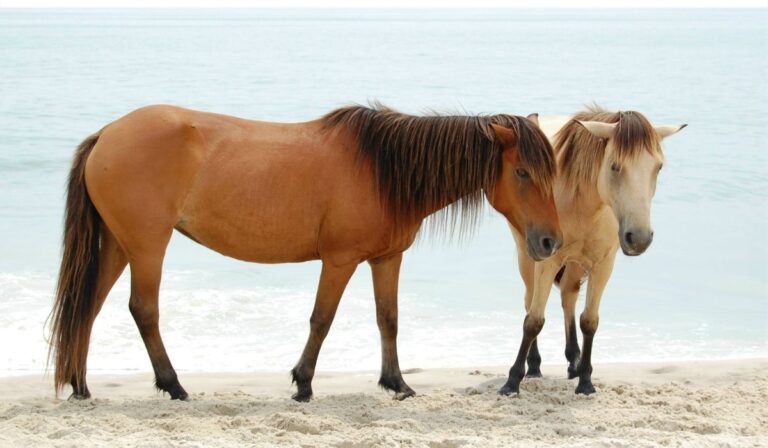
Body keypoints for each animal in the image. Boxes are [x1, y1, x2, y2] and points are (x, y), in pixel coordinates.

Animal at [49, 103, 563, 402]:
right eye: (522, 172)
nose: (549, 242)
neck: (382, 168)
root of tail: (107, 134)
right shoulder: (339, 261)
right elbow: (322, 319)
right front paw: (303, 383)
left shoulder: (386, 259)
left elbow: (388, 319)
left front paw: (396, 383)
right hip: (147, 245)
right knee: (143, 310)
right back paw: (173, 385)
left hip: (119, 245)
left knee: (88, 308)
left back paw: (81, 385)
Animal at [498, 106, 686, 396]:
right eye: (615, 166)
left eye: (658, 167)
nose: (639, 239)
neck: (582, 202)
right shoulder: (547, 261)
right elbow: (533, 320)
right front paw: (512, 381)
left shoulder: (603, 264)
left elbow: (589, 321)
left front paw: (586, 380)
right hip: (526, 255)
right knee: (530, 300)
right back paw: (535, 365)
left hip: (575, 264)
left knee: (568, 297)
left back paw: (573, 361)